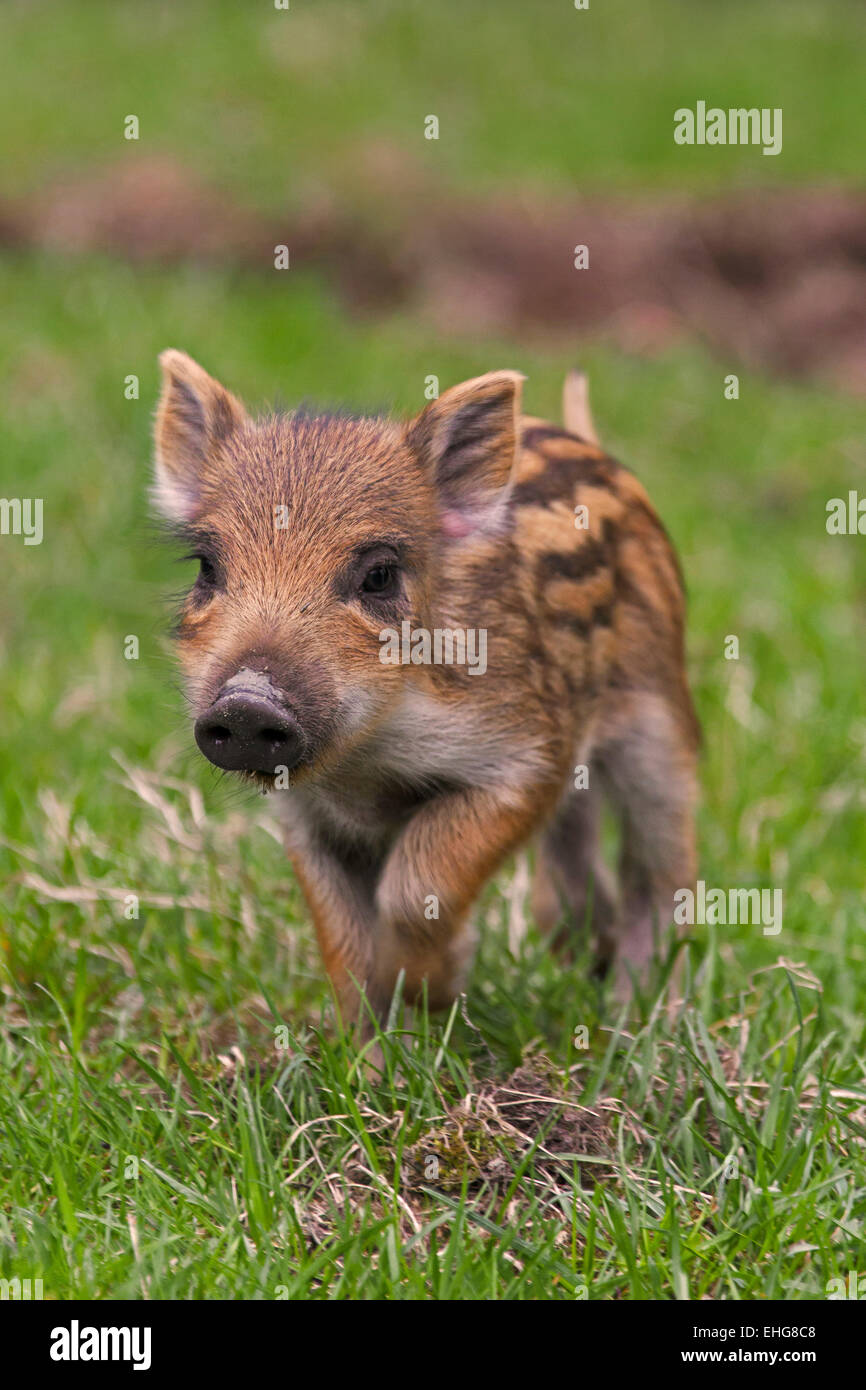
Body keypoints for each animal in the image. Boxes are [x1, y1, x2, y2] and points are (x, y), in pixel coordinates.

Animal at [152, 351, 699, 1027]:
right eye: (206, 566)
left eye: (380, 575)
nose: (247, 701)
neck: (368, 757)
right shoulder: (307, 818)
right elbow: (341, 940)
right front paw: (368, 1043)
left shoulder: (527, 755)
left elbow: (418, 885)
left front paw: (432, 993)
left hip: (660, 723)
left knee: (662, 871)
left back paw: (644, 1015)